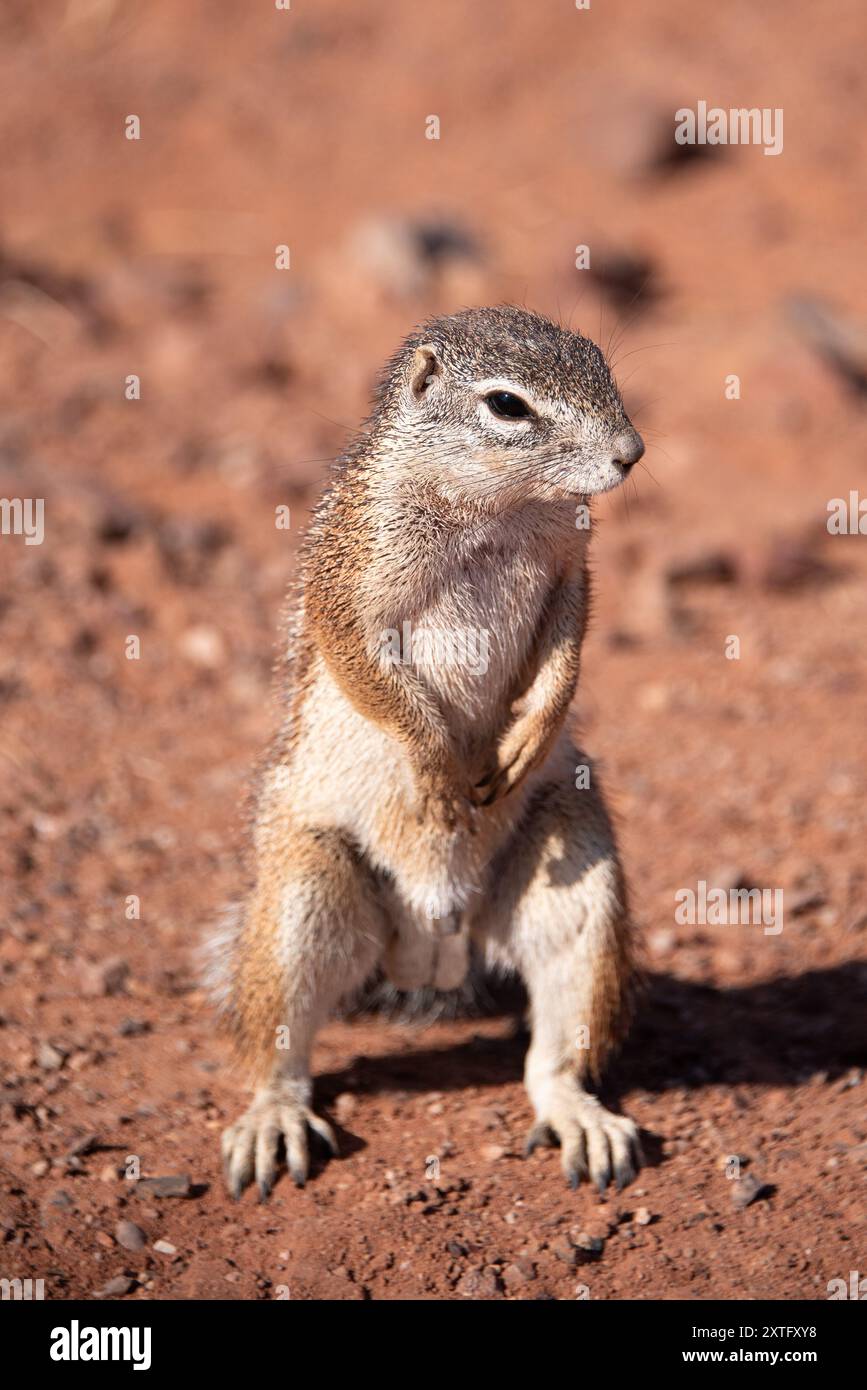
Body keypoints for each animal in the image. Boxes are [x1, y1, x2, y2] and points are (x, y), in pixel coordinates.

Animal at [208, 305, 646, 1198]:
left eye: (599, 364)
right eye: (507, 406)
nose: (631, 453)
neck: (499, 505)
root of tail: (432, 947)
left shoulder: (570, 566)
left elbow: (568, 640)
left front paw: (528, 733)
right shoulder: (354, 570)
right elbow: (369, 669)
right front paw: (438, 771)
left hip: (575, 866)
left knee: (553, 1053)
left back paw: (580, 1117)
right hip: (303, 889)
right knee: (276, 1044)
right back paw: (271, 1120)